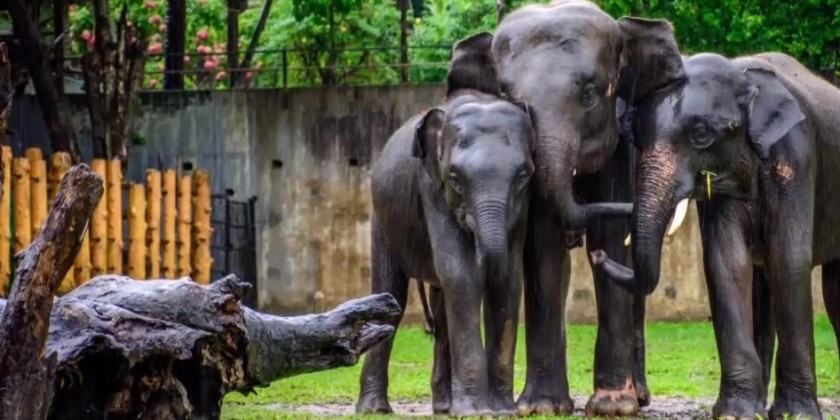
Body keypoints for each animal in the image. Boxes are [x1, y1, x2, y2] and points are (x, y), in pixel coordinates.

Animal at [355, 33, 538, 417]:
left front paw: (502, 411)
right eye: (455, 177)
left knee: (440, 309)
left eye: (523, 175)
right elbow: (462, 275)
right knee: (391, 297)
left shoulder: (525, 203)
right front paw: (478, 413)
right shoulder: (431, 187)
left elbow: (508, 278)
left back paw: (442, 406)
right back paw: (374, 409)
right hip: (383, 217)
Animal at [445, 1, 688, 415]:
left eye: (590, 94)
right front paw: (541, 407)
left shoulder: (619, 147)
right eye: (509, 98)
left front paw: (612, 407)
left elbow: (609, 238)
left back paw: (638, 397)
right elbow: (543, 246)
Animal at [595, 51, 840, 419]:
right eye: (637, 134)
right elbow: (727, 263)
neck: (743, 75)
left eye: (701, 134)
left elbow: (789, 260)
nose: (597, 254)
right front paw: (734, 413)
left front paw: (795, 414)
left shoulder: (796, 156)